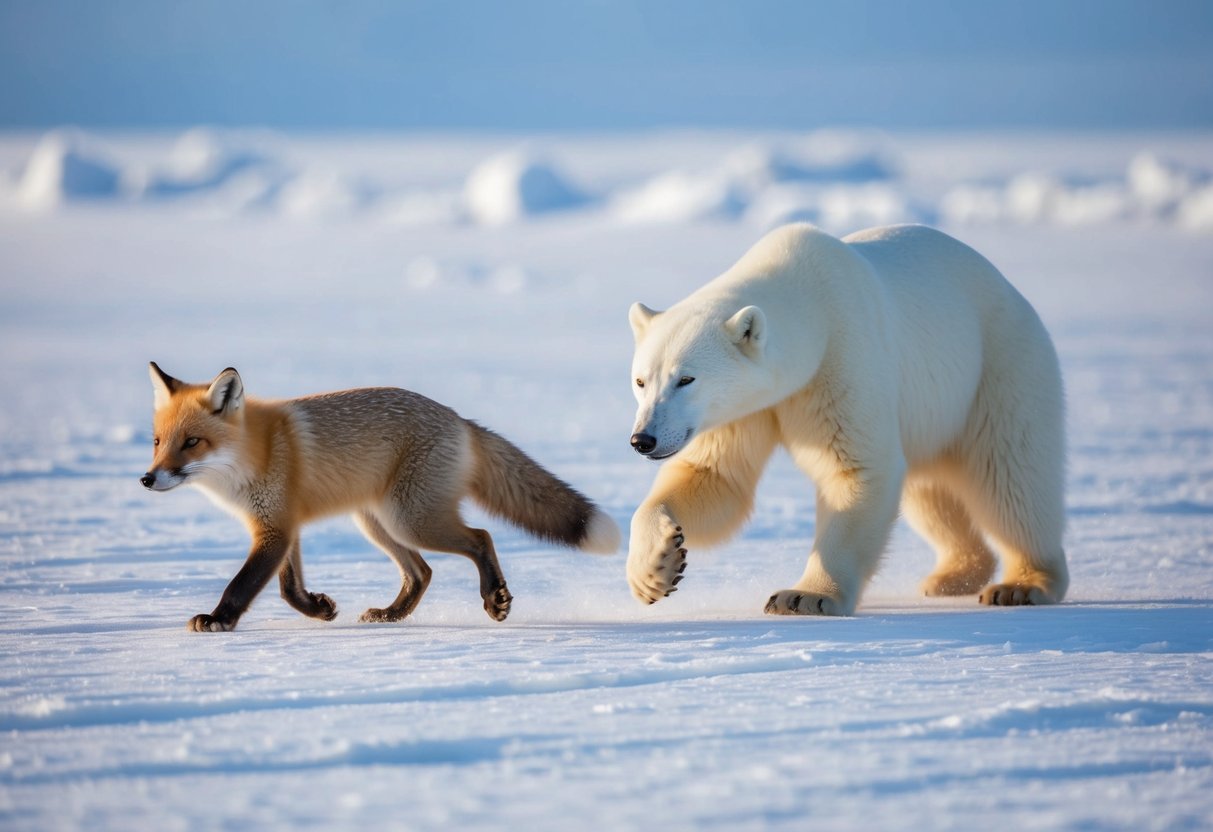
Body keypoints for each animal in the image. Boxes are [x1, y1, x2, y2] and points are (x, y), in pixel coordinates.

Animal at [140, 363, 621, 632]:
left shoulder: (274, 529)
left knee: (481, 537)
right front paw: (319, 610)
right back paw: (392, 615)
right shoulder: (282, 525)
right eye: (158, 441)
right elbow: (288, 588)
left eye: (192, 443)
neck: (254, 454)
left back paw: (494, 599)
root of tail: (459, 418)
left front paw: (219, 619)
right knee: (422, 572)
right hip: (379, 522)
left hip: (409, 519)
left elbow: (244, 583)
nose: (147, 479)